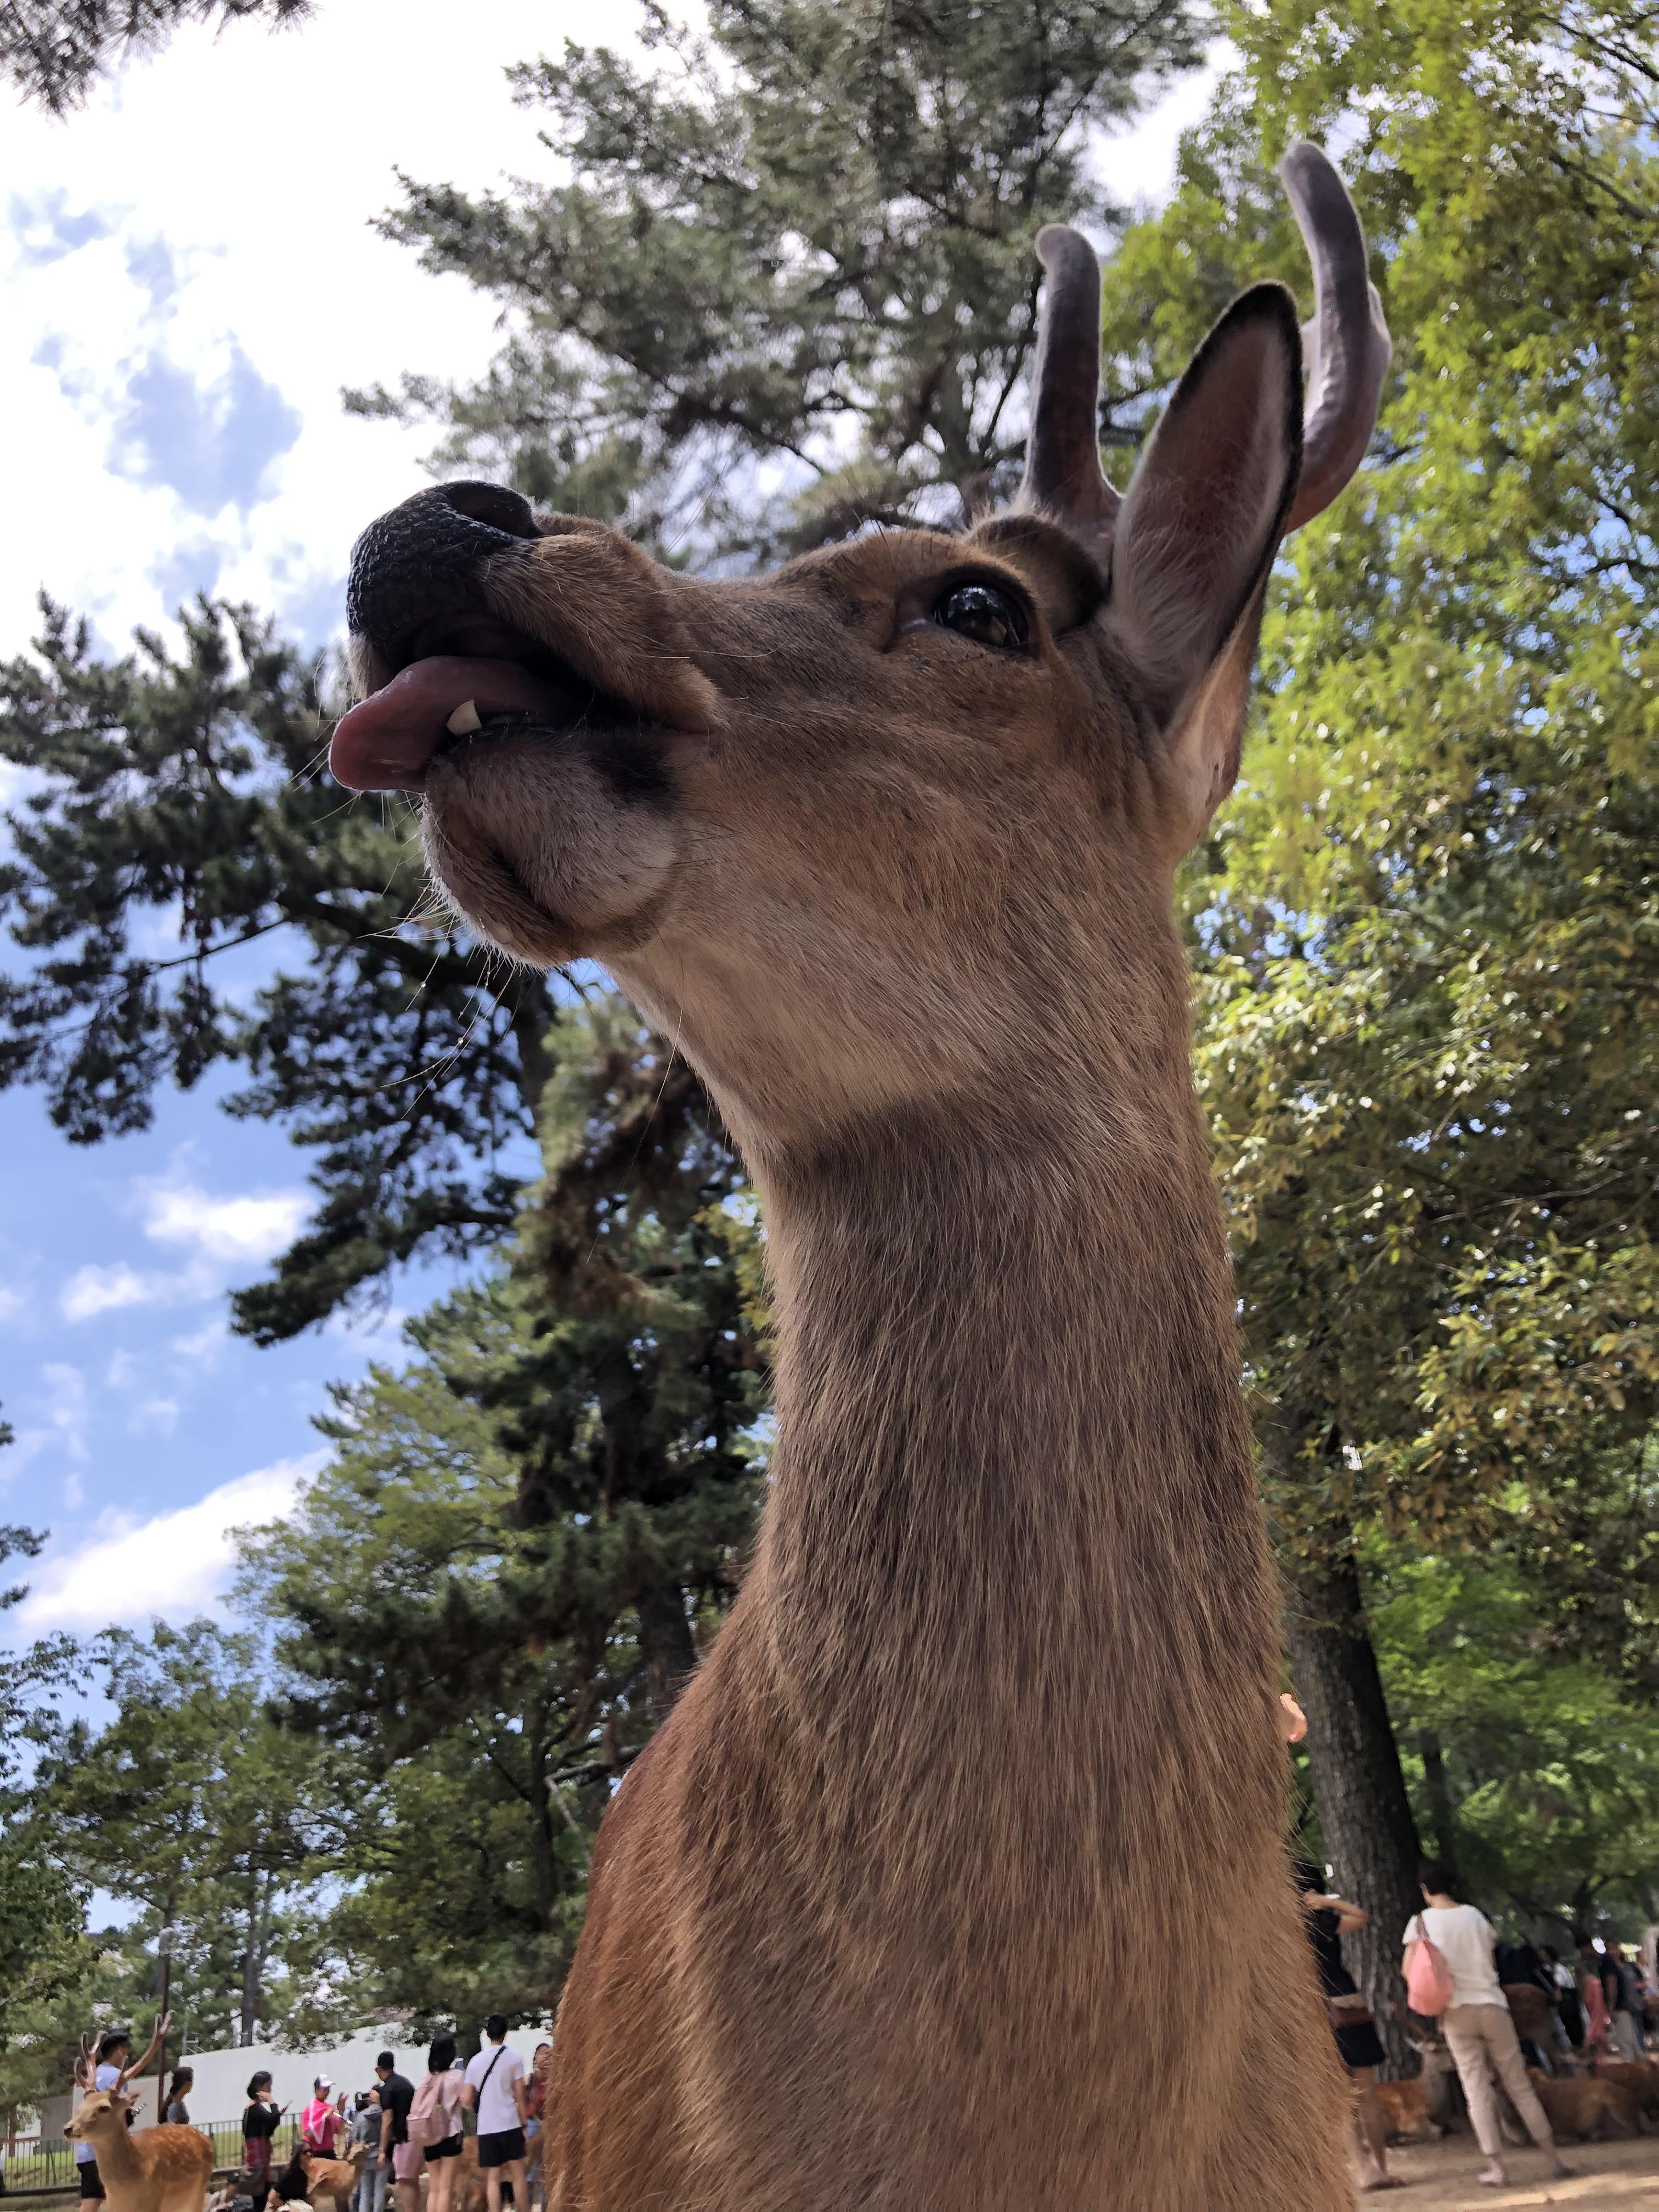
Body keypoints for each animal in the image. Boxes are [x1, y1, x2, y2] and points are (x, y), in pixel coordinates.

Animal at [67, 2034, 214, 2212]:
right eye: (80, 2108)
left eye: (104, 2107)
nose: (68, 2128)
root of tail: (206, 2139)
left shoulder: (153, 2203)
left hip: (197, 2193)